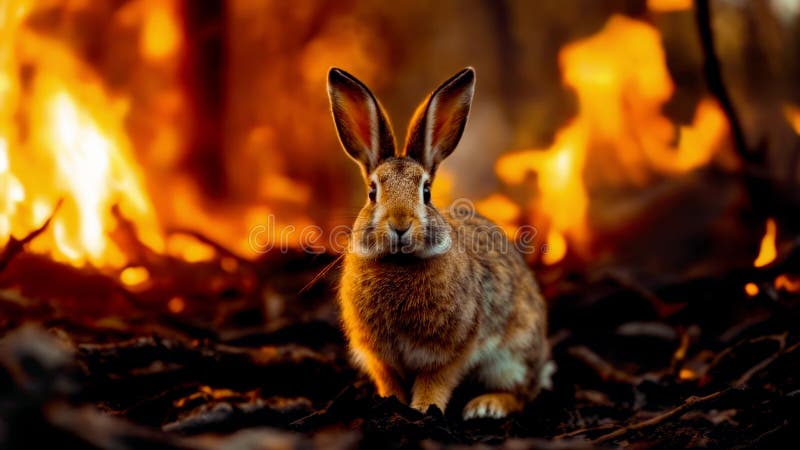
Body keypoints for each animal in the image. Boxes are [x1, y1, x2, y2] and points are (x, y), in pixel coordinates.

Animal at [327, 66, 550, 420]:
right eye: (372, 191)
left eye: (426, 192)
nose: (400, 225)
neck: (400, 262)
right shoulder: (380, 357)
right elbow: (389, 381)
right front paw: (389, 404)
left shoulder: (452, 349)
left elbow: (436, 381)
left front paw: (422, 410)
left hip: (513, 356)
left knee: (521, 393)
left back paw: (486, 406)